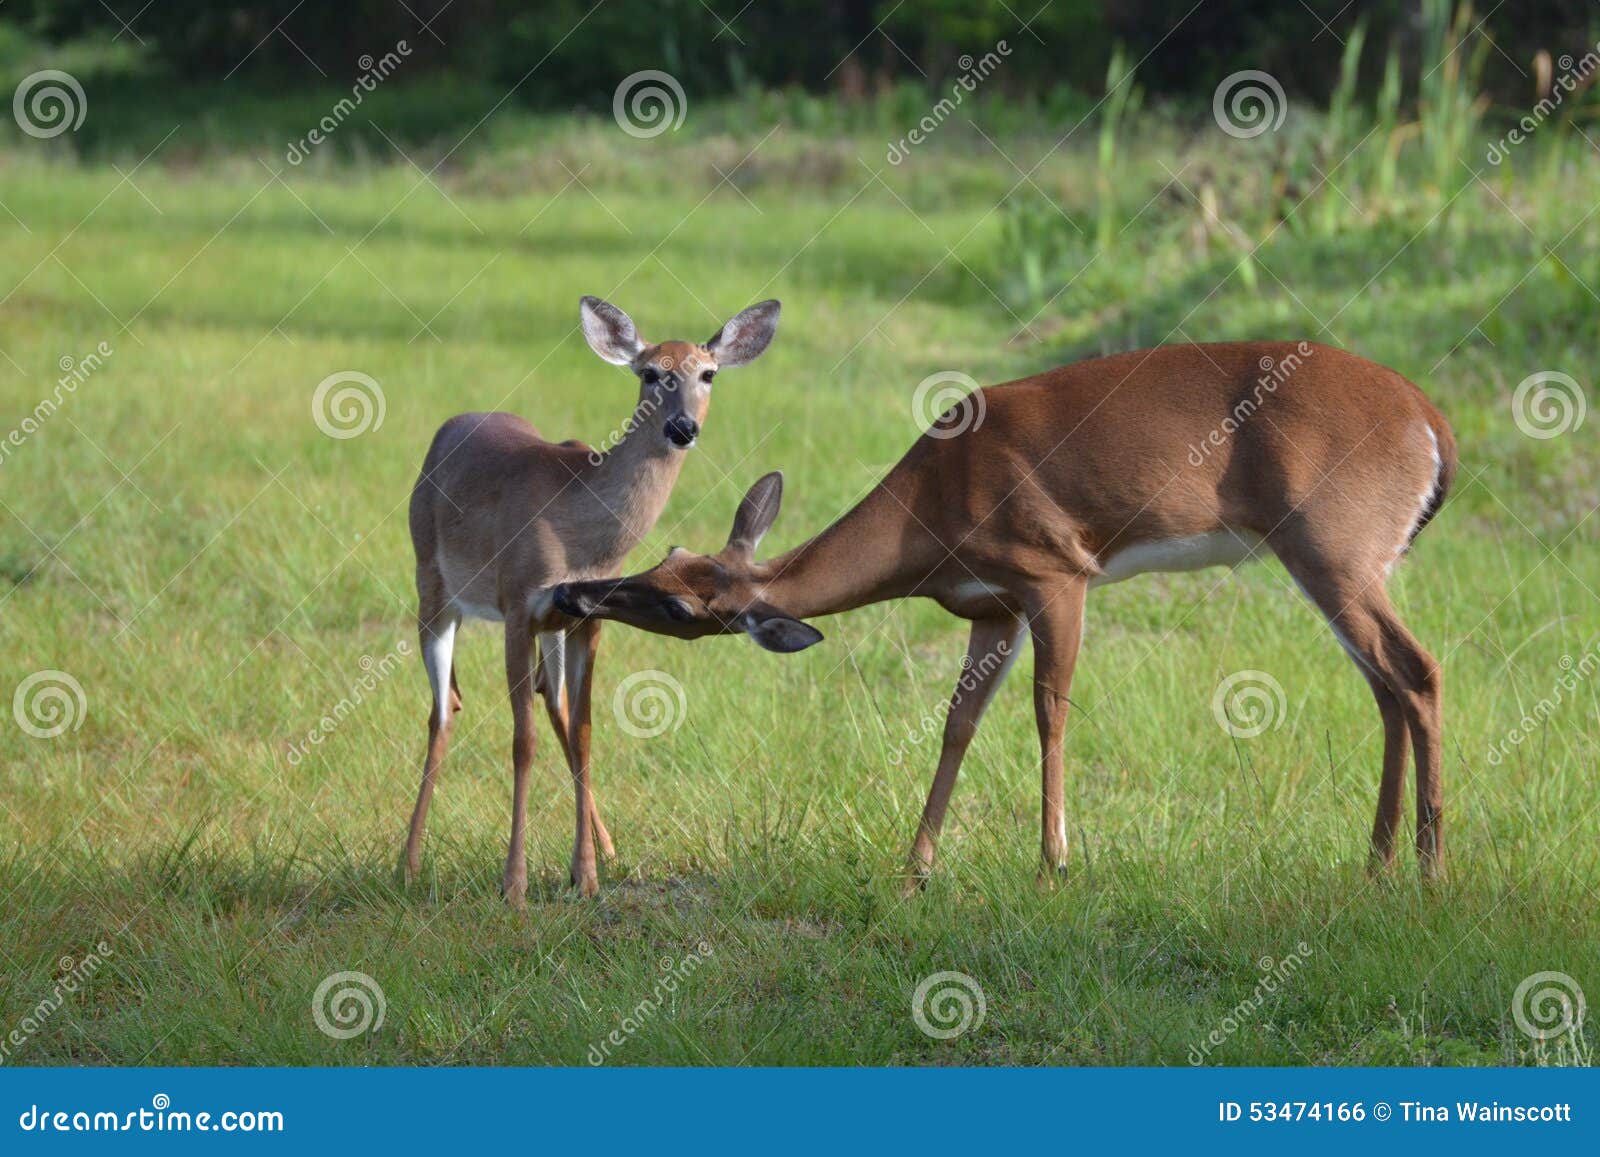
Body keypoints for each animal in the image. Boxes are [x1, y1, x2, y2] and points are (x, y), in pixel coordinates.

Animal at [402, 295, 780, 902]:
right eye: (650, 373)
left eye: (708, 373)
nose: (683, 427)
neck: (576, 524)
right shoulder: (517, 605)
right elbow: (522, 741)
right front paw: (515, 884)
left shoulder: (587, 614)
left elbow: (582, 733)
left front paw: (586, 874)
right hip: (431, 587)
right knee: (443, 709)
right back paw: (408, 863)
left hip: (546, 624)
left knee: (547, 698)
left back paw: (605, 846)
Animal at [552, 340, 1458, 889]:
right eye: (669, 552)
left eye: (676, 603)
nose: (582, 594)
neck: (935, 500)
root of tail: (1431, 420)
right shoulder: (991, 606)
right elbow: (960, 721)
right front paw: (916, 866)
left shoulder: (1056, 570)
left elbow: (1049, 711)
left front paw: (1053, 860)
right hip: (1342, 562)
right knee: (1386, 686)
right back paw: (1376, 862)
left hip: (1334, 546)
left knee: (1417, 671)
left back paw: (1429, 866)